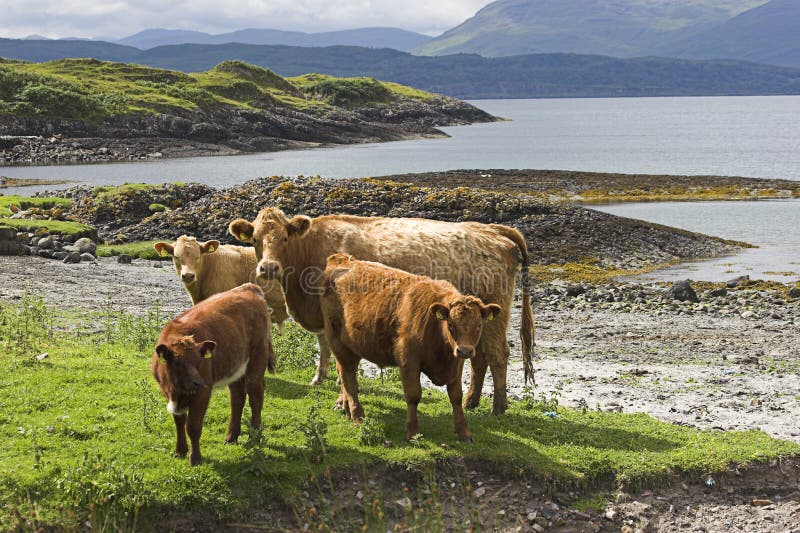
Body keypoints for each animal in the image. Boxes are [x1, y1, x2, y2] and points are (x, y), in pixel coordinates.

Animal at [151, 283, 276, 466]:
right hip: (235, 367)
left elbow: (193, 426)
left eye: (199, 361)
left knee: (255, 395)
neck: (177, 392)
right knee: (237, 397)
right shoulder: (167, 392)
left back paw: (254, 436)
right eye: (177, 362)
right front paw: (179, 451)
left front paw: (195, 458)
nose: (197, 382)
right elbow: (179, 421)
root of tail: (249, 287)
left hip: (257, 361)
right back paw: (231, 436)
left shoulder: (204, 391)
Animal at [229, 207, 534, 415]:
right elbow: (329, 353)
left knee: (497, 355)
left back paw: (497, 408)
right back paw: (471, 401)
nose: (268, 268)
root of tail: (489, 230)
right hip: (475, 320)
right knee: (479, 357)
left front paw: (341, 397)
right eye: (254, 239)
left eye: (284, 238)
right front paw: (325, 383)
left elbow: (339, 361)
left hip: (493, 315)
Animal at [320, 254, 501, 441]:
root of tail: (343, 260)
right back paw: (358, 416)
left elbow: (456, 397)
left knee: (345, 375)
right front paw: (413, 432)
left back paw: (346, 408)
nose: (464, 350)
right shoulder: (409, 359)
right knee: (348, 378)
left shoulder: (456, 364)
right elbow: (413, 395)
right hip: (338, 343)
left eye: (479, 325)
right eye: (450, 324)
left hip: (352, 347)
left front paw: (463, 431)